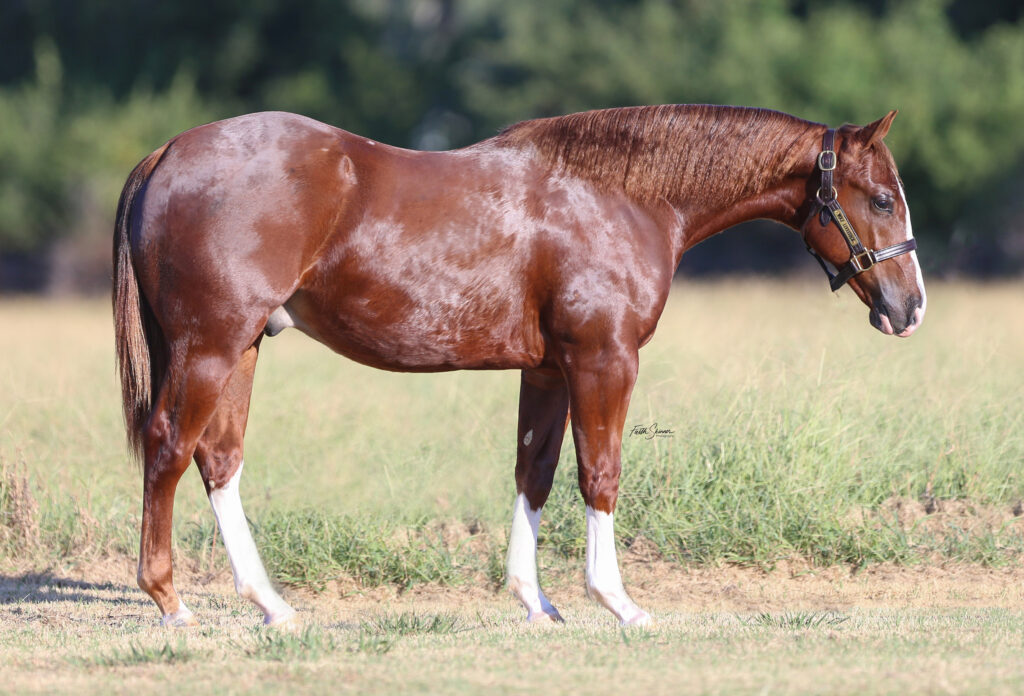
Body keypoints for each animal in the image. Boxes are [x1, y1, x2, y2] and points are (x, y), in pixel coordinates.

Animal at [113, 104, 925, 628]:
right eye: (882, 198)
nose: (910, 307)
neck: (619, 198)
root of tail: (169, 151)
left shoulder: (548, 370)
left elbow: (533, 470)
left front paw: (535, 601)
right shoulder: (603, 359)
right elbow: (600, 473)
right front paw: (619, 602)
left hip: (243, 347)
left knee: (219, 459)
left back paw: (272, 606)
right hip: (211, 346)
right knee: (169, 448)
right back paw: (169, 601)